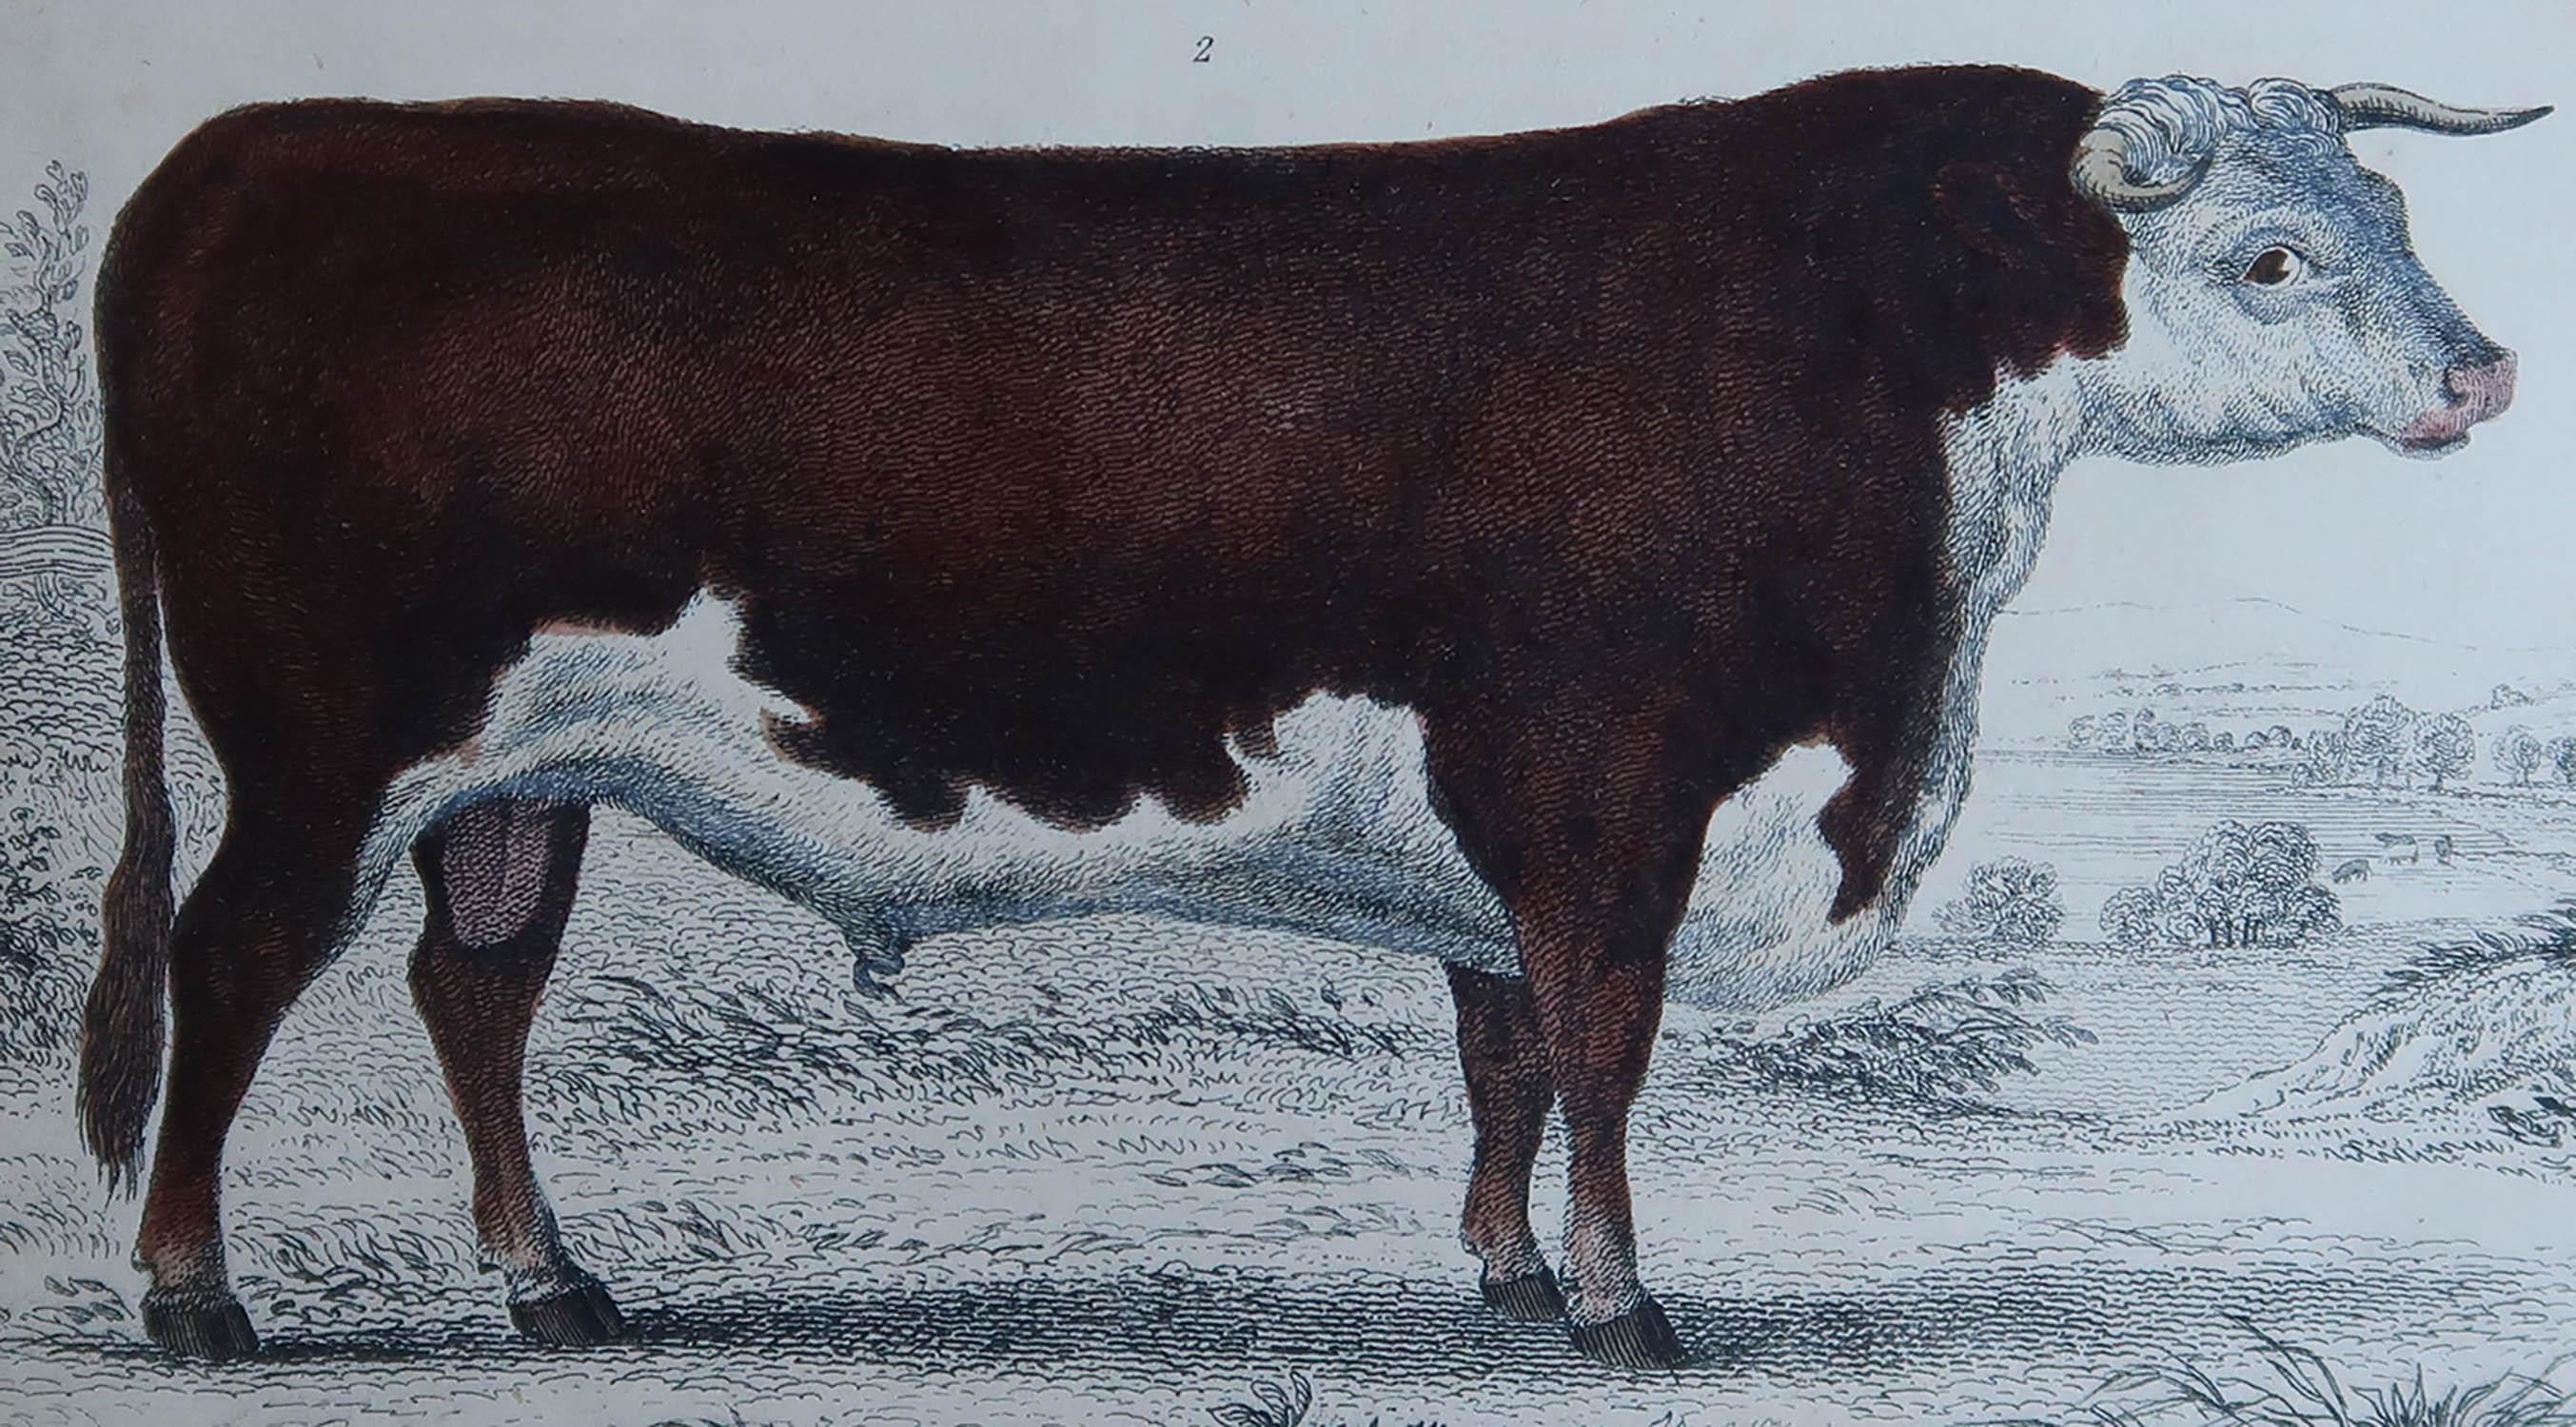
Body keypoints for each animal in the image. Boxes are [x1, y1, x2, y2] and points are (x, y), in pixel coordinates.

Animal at [74, 65, 2544, 1368]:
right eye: (2265, 258)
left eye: (2389, 202)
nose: (2480, 372)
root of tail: (253, 143)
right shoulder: (1608, 778)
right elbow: (1602, 1039)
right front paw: (1622, 1306)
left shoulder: (1506, 820)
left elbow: (1504, 1045)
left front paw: (1505, 1267)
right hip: (325, 742)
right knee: (234, 960)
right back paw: (196, 1299)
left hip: (525, 771)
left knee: (470, 989)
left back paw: (554, 1282)